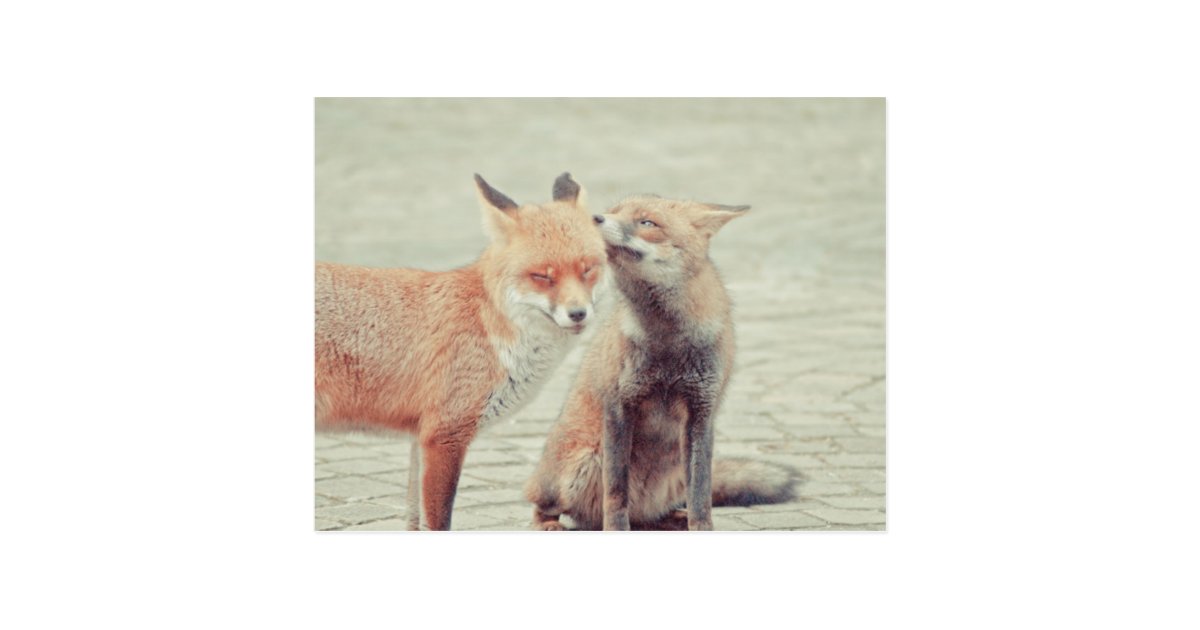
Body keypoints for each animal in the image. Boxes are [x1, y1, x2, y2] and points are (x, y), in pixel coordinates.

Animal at [316, 173, 608, 530]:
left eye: (588, 269)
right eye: (541, 276)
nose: (578, 314)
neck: (489, 325)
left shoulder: (420, 438)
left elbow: (414, 521)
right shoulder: (444, 436)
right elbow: (438, 522)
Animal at [524, 195, 794, 530]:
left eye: (647, 222)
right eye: (613, 212)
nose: (594, 218)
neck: (668, 345)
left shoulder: (701, 413)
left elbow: (701, 495)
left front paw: (701, 528)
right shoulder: (619, 408)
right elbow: (616, 492)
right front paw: (616, 531)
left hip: (673, 472)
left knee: (660, 512)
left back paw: (673, 517)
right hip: (579, 468)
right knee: (544, 505)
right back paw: (550, 523)